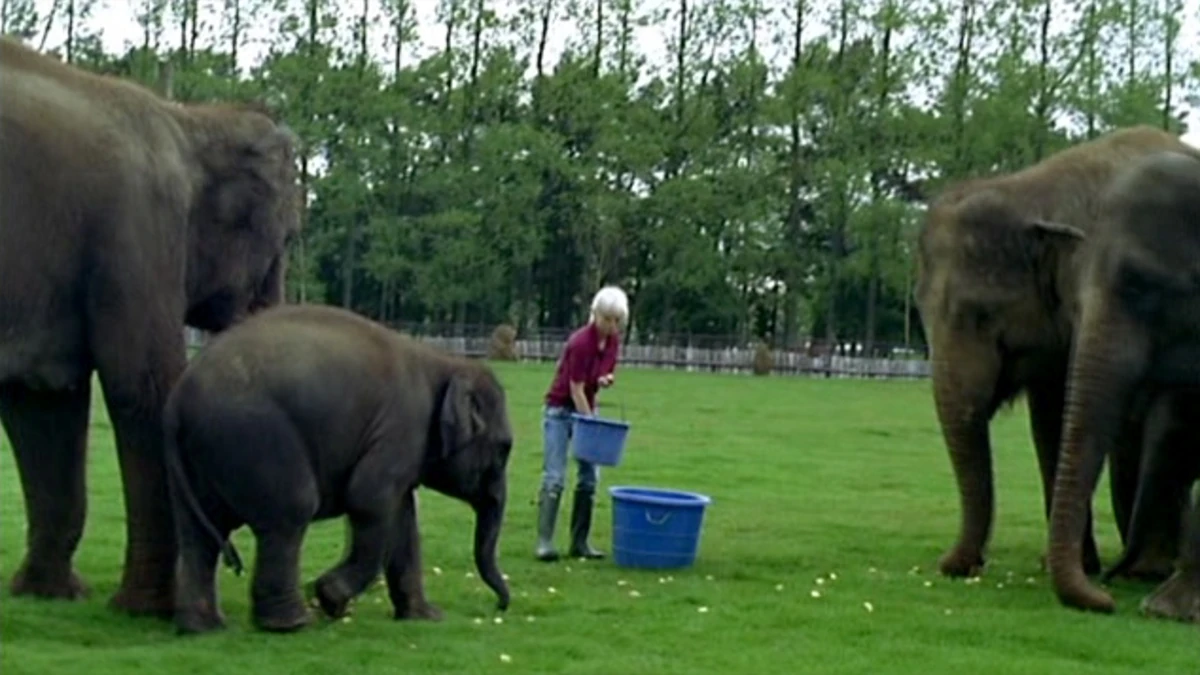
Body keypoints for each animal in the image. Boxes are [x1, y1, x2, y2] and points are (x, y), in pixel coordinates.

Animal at [0, 37, 300, 616]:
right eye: (289, 237)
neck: (190, 121)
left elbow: (45, 398)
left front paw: (51, 594)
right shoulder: (138, 226)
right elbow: (145, 387)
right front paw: (153, 609)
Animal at [162, 304, 513, 634]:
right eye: (504, 448)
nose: (499, 606)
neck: (444, 362)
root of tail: (177, 403)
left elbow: (403, 520)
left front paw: (424, 617)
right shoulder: (401, 428)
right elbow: (368, 500)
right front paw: (329, 599)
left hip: (200, 461)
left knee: (197, 535)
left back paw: (203, 627)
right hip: (253, 437)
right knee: (291, 512)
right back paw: (291, 624)